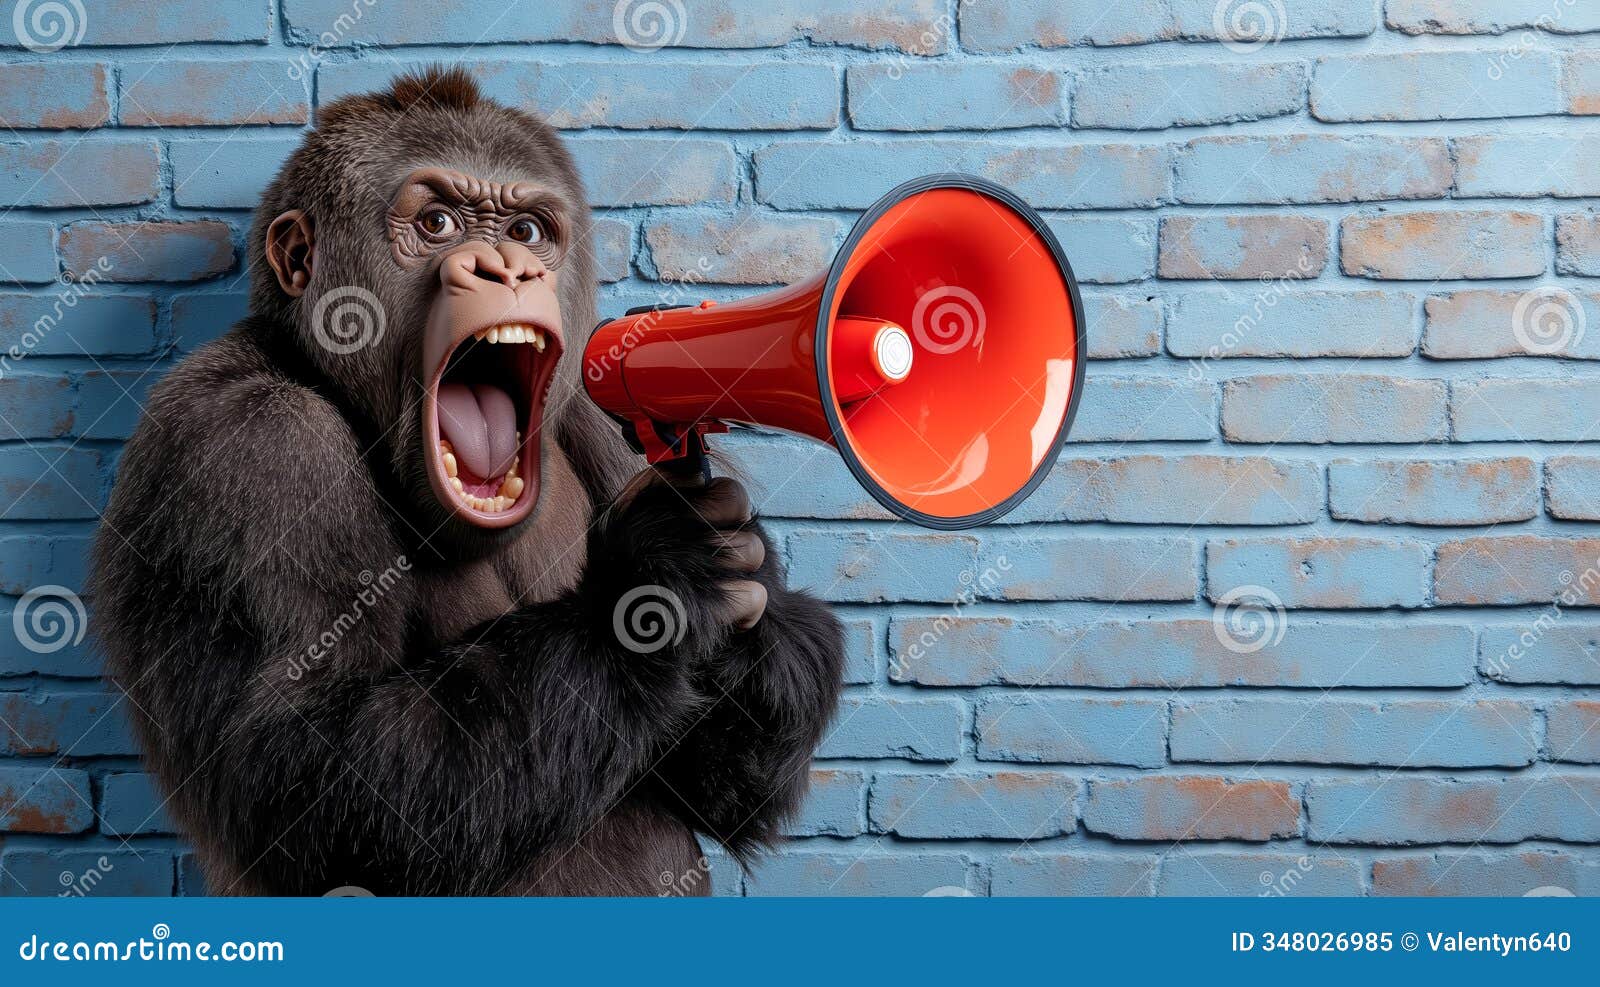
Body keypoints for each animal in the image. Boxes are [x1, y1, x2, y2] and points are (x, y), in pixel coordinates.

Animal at [89, 66, 845, 896]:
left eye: (526, 233)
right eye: (439, 223)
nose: (508, 268)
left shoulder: (595, 414)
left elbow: (720, 785)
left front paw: (744, 592)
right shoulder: (249, 445)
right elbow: (303, 766)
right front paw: (659, 579)